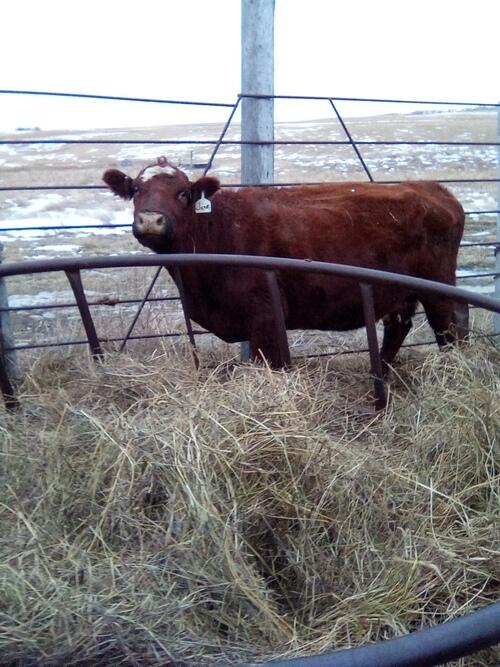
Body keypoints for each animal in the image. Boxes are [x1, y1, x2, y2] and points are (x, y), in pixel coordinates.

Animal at [103, 157, 468, 371]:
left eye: (183, 193)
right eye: (135, 189)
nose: (151, 221)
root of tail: (431, 188)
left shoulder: (265, 316)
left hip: (438, 289)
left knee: (452, 327)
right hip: (398, 293)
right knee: (398, 327)